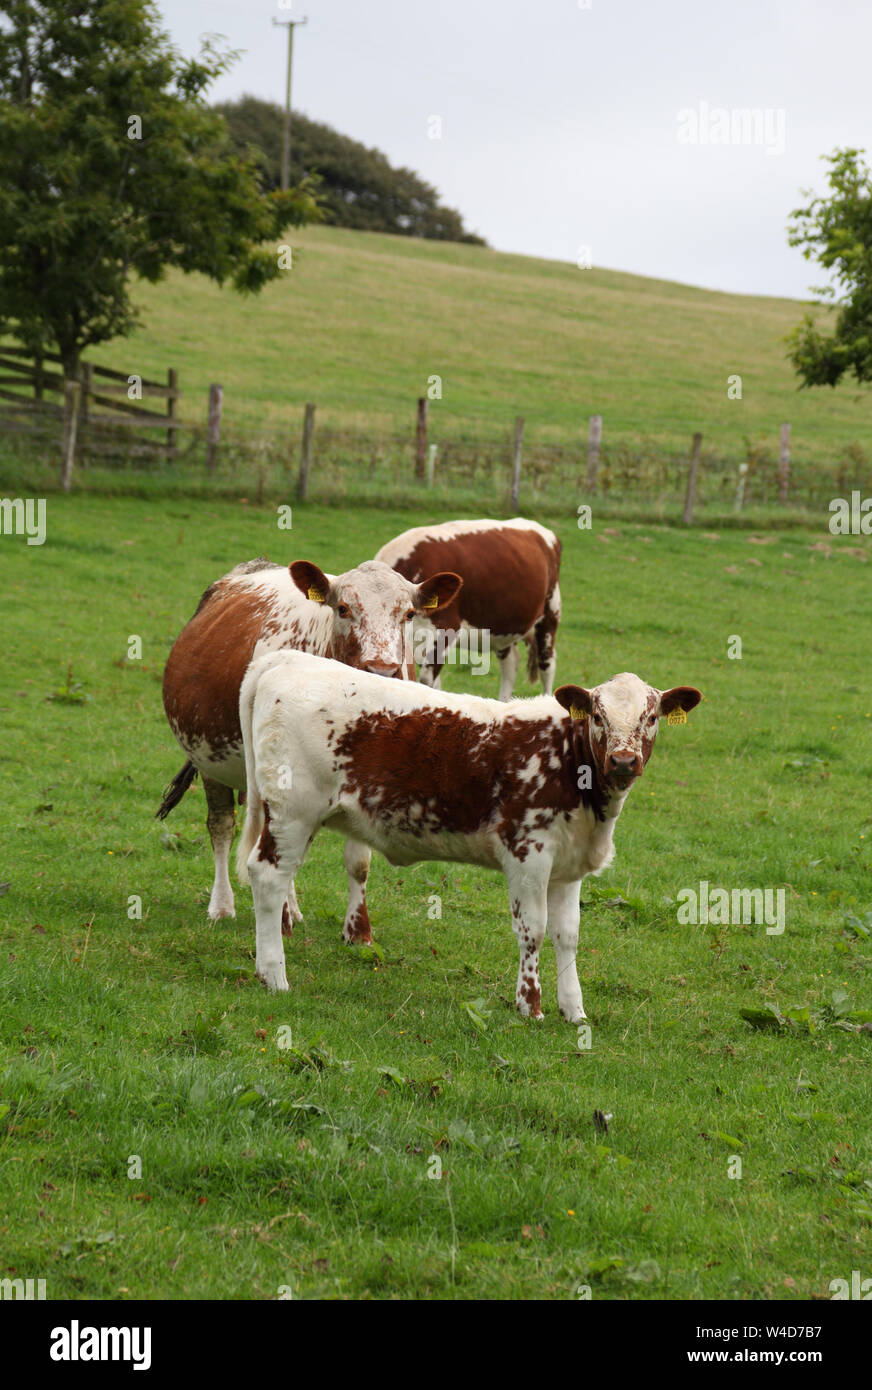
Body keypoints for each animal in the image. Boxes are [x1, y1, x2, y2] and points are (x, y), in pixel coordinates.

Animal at [159, 557, 462, 932]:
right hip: (210, 760)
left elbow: (358, 859)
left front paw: (357, 928)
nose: (382, 669)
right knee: (222, 826)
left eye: (408, 613)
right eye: (343, 608)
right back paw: (223, 905)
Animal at [235, 650, 702, 1020]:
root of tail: (285, 660)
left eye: (651, 717)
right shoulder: (527, 853)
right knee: (268, 877)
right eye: (600, 717)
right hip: (292, 812)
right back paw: (273, 974)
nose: (623, 761)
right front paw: (530, 1006)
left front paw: (574, 1010)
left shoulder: (569, 866)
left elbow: (567, 935)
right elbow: (533, 929)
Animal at [374, 518, 562, 701]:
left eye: (408, 612)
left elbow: (427, 682)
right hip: (503, 625)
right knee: (510, 664)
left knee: (547, 664)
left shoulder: (445, 629)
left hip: (550, 613)